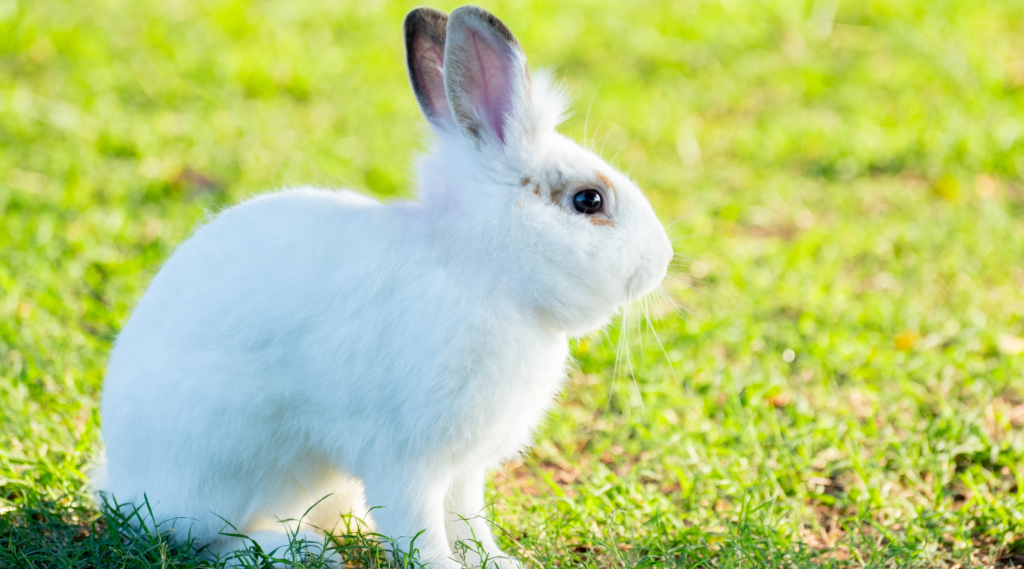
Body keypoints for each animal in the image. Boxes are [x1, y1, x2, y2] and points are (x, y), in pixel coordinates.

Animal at [96, 4, 673, 569]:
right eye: (589, 200)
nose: (662, 259)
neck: (485, 270)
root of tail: (119, 482)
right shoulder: (403, 458)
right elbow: (419, 530)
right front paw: (442, 567)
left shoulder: (464, 466)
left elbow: (468, 519)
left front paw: (495, 561)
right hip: (230, 465)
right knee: (203, 538)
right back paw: (296, 549)